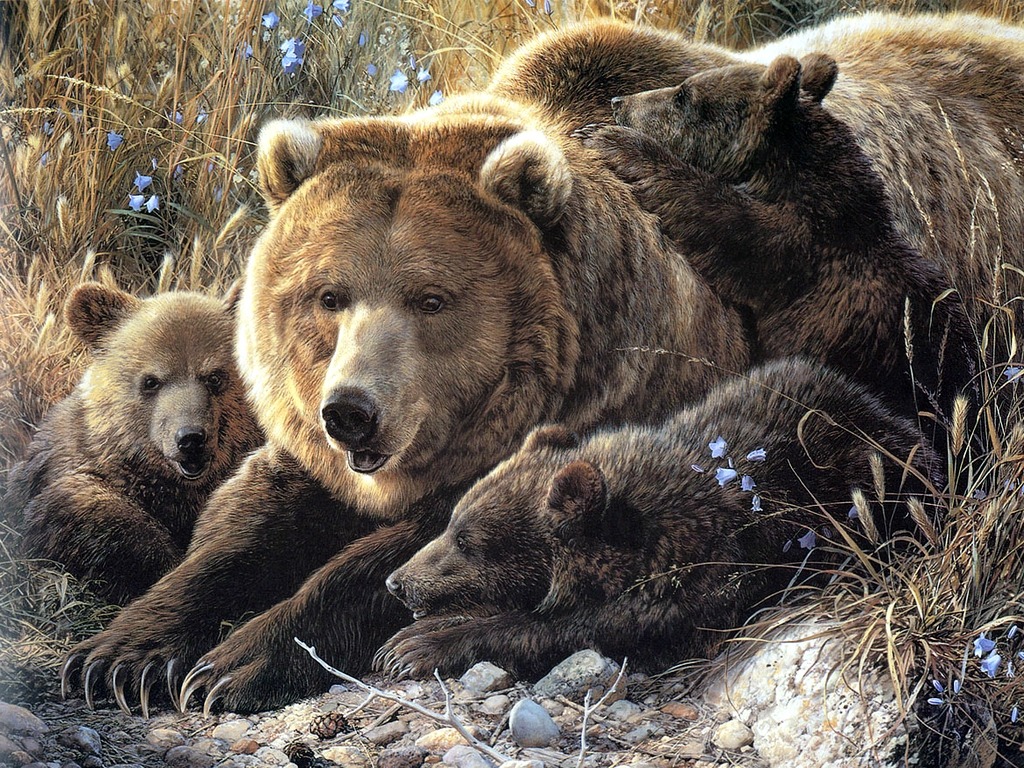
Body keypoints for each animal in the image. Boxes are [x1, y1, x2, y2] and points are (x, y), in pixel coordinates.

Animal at [59, 96, 751, 715]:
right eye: (329, 295)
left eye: (431, 299)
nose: (350, 412)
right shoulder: (310, 462)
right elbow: (240, 531)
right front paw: (118, 658)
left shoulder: (570, 427)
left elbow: (412, 558)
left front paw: (231, 665)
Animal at [377, 357, 942, 680]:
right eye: (451, 522)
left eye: (467, 541)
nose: (396, 582)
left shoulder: (698, 580)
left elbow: (585, 628)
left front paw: (419, 645)